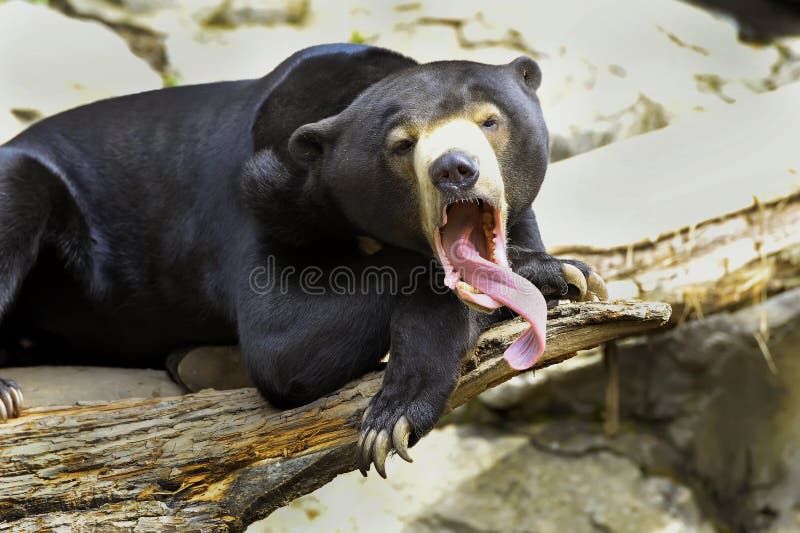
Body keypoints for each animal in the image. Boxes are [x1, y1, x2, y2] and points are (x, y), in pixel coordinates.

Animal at [0, 44, 605, 477]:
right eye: (403, 144)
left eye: (489, 121)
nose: (455, 170)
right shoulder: (257, 197)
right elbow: (283, 344)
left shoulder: (517, 213)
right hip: (26, 180)